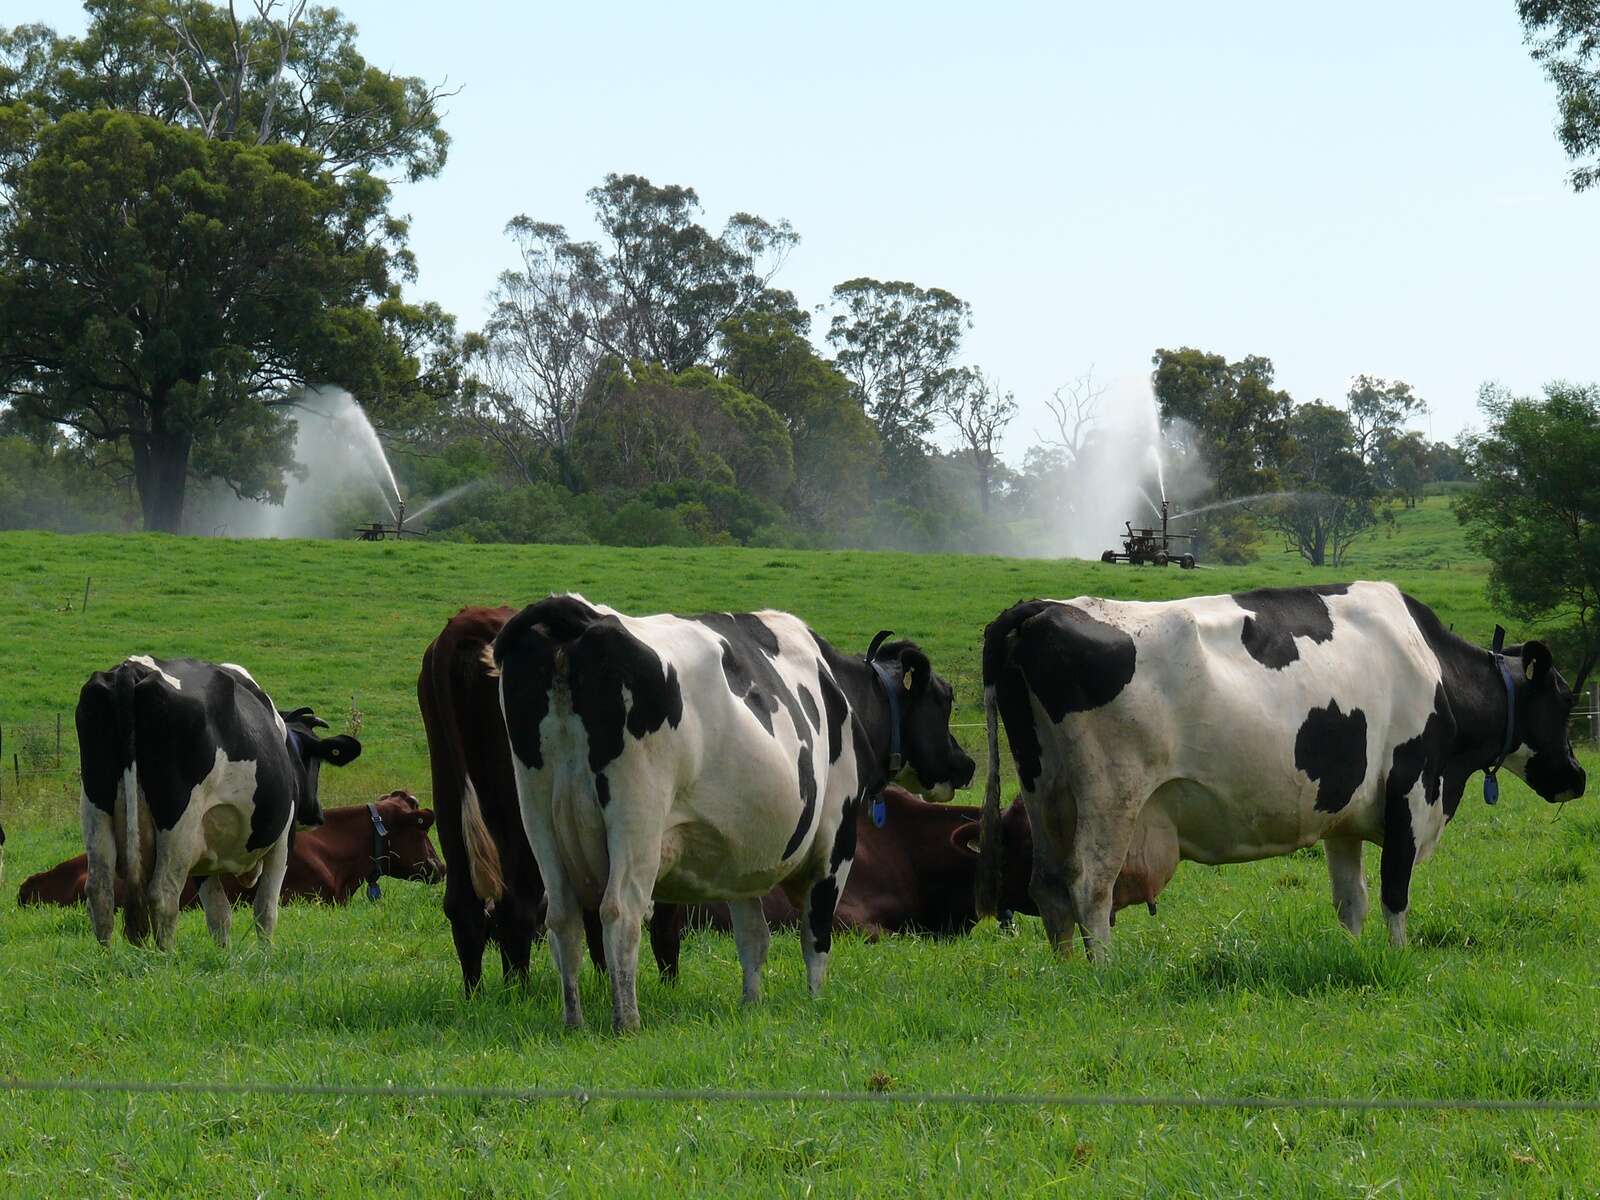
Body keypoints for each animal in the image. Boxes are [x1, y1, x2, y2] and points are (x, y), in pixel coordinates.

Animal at [76, 656, 362, 949]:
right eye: (315, 761)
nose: (317, 814)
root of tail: (132, 669)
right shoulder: (283, 838)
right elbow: (266, 908)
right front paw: (265, 953)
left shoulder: (203, 846)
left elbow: (218, 913)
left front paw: (224, 953)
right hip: (180, 819)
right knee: (163, 894)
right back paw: (164, 954)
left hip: (96, 808)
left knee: (100, 891)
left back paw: (109, 954)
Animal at [489, 595, 976, 1031]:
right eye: (944, 698)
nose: (966, 763)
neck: (844, 695)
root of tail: (581, 616)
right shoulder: (836, 839)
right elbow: (816, 931)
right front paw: (815, 1001)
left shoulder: (744, 854)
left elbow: (754, 937)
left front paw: (751, 1003)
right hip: (636, 819)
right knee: (620, 913)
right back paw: (627, 1021)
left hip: (539, 816)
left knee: (562, 917)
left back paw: (574, 1021)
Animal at [975, 582, 1589, 957]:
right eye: (1562, 699)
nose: (1578, 778)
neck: (1435, 668)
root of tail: (1040, 608)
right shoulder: (1413, 793)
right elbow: (1395, 893)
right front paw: (1400, 959)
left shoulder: (1345, 816)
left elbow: (1351, 899)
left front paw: (1354, 956)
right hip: (1111, 795)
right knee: (1089, 887)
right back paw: (1104, 974)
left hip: (1046, 791)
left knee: (1048, 886)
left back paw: (1068, 974)